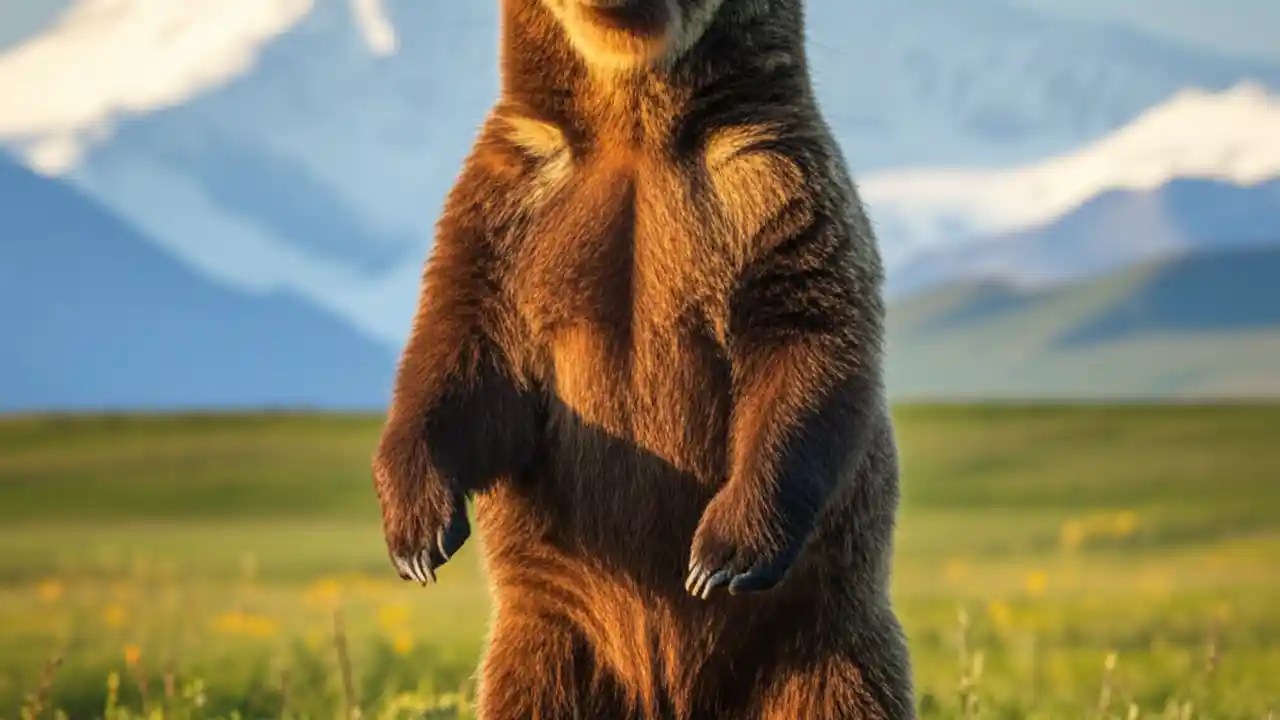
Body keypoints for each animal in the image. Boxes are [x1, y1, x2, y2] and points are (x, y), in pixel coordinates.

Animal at [372, 0, 915, 717]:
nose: (417, 540)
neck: (633, 121)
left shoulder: (767, 181)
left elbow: (807, 338)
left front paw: (721, 555)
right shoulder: (518, 204)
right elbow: (465, 350)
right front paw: (417, 534)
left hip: (817, 639)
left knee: (842, 691)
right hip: (555, 638)